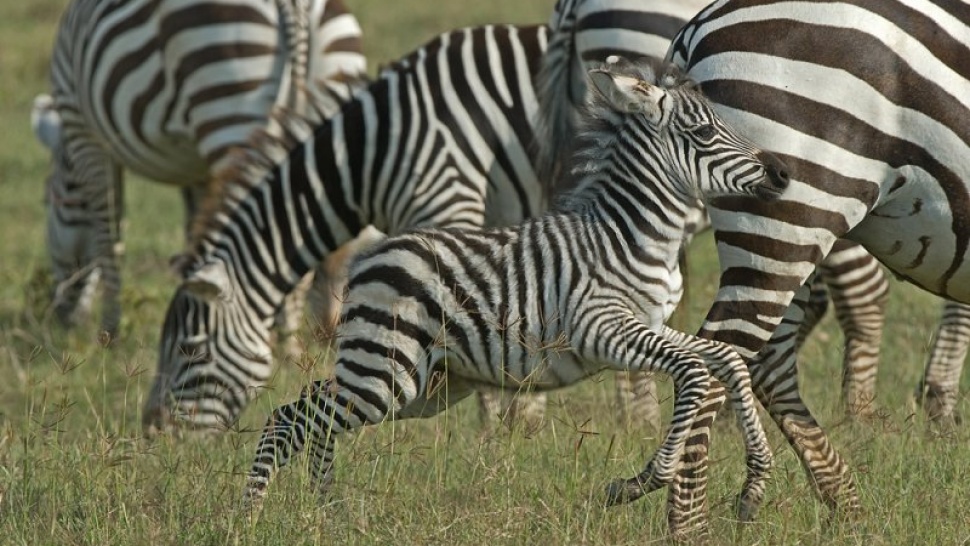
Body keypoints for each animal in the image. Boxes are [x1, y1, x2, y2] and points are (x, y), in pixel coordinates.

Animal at [34, 0, 367, 345]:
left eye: (47, 202)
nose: (61, 318)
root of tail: (294, 6)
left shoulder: (86, 133)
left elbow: (108, 235)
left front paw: (109, 332)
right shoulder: (198, 171)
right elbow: (198, 231)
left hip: (229, 99)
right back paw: (291, 341)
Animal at [145, 24, 553, 435]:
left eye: (191, 350)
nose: (154, 433)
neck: (369, 155)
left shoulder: (449, 200)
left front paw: (496, 428)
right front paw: (519, 415)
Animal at [239, 56, 786, 531]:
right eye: (705, 133)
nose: (782, 174)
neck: (630, 233)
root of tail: (371, 255)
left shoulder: (649, 325)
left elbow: (726, 360)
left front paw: (755, 484)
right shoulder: (600, 330)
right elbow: (693, 371)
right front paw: (638, 483)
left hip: (420, 385)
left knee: (313, 409)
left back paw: (327, 509)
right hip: (384, 373)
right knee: (287, 417)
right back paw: (251, 515)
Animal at [633, 0, 970, 534]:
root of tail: (699, 25)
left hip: (796, 224)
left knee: (767, 356)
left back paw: (848, 508)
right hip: (793, 205)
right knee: (721, 354)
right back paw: (689, 527)